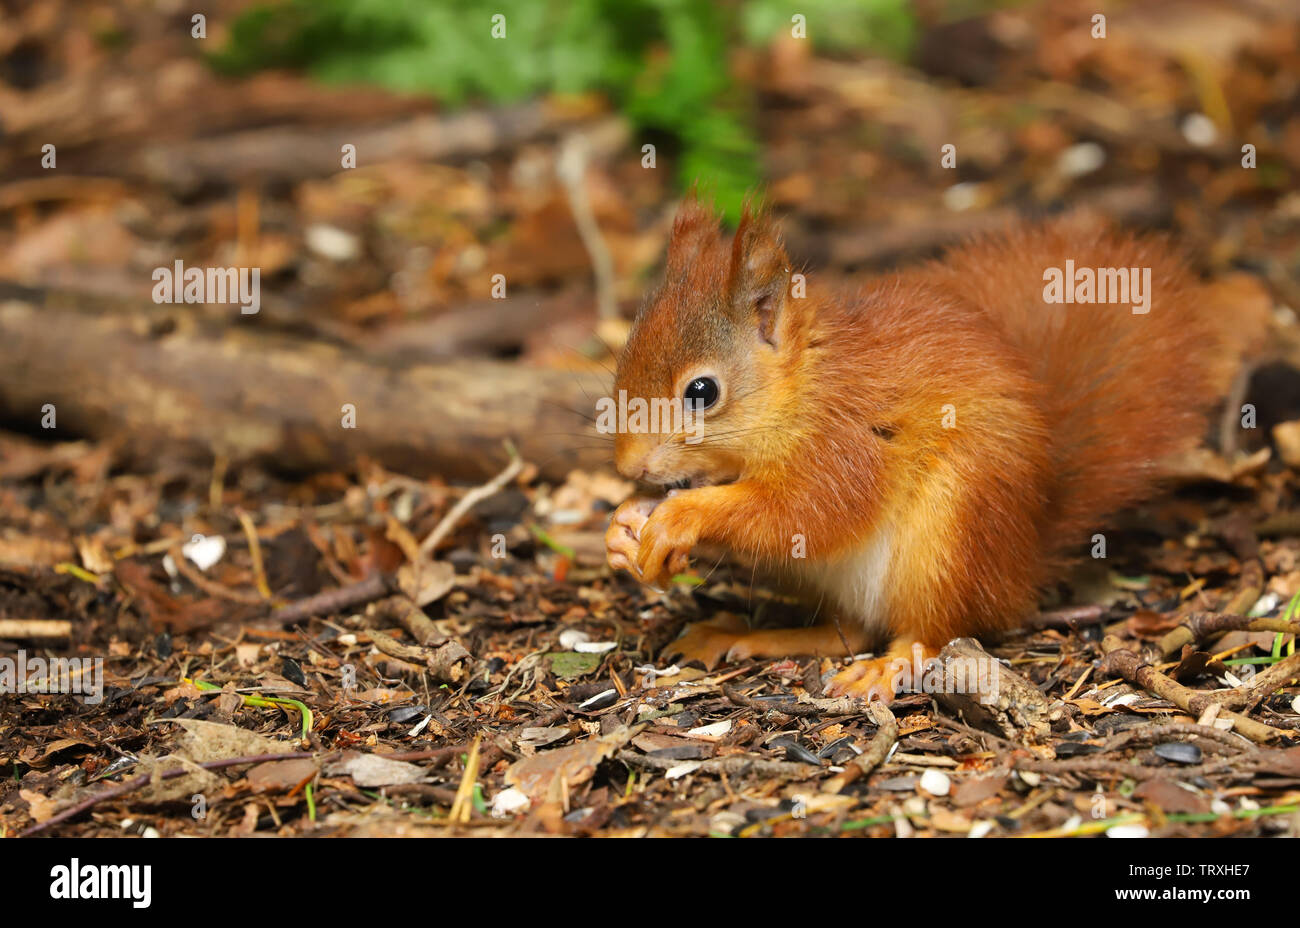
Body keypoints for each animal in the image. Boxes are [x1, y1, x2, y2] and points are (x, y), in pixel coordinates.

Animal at [604, 197, 1264, 702]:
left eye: (702, 391)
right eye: (623, 357)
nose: (628, 465)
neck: (802, 390)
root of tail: (1021, 564)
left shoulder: (845, 447)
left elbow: (802, 512)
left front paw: (681, 516)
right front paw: (625, 526)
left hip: (947, 535)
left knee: (927, 631)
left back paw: (886, 666)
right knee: (847, 630)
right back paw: (742, 634)